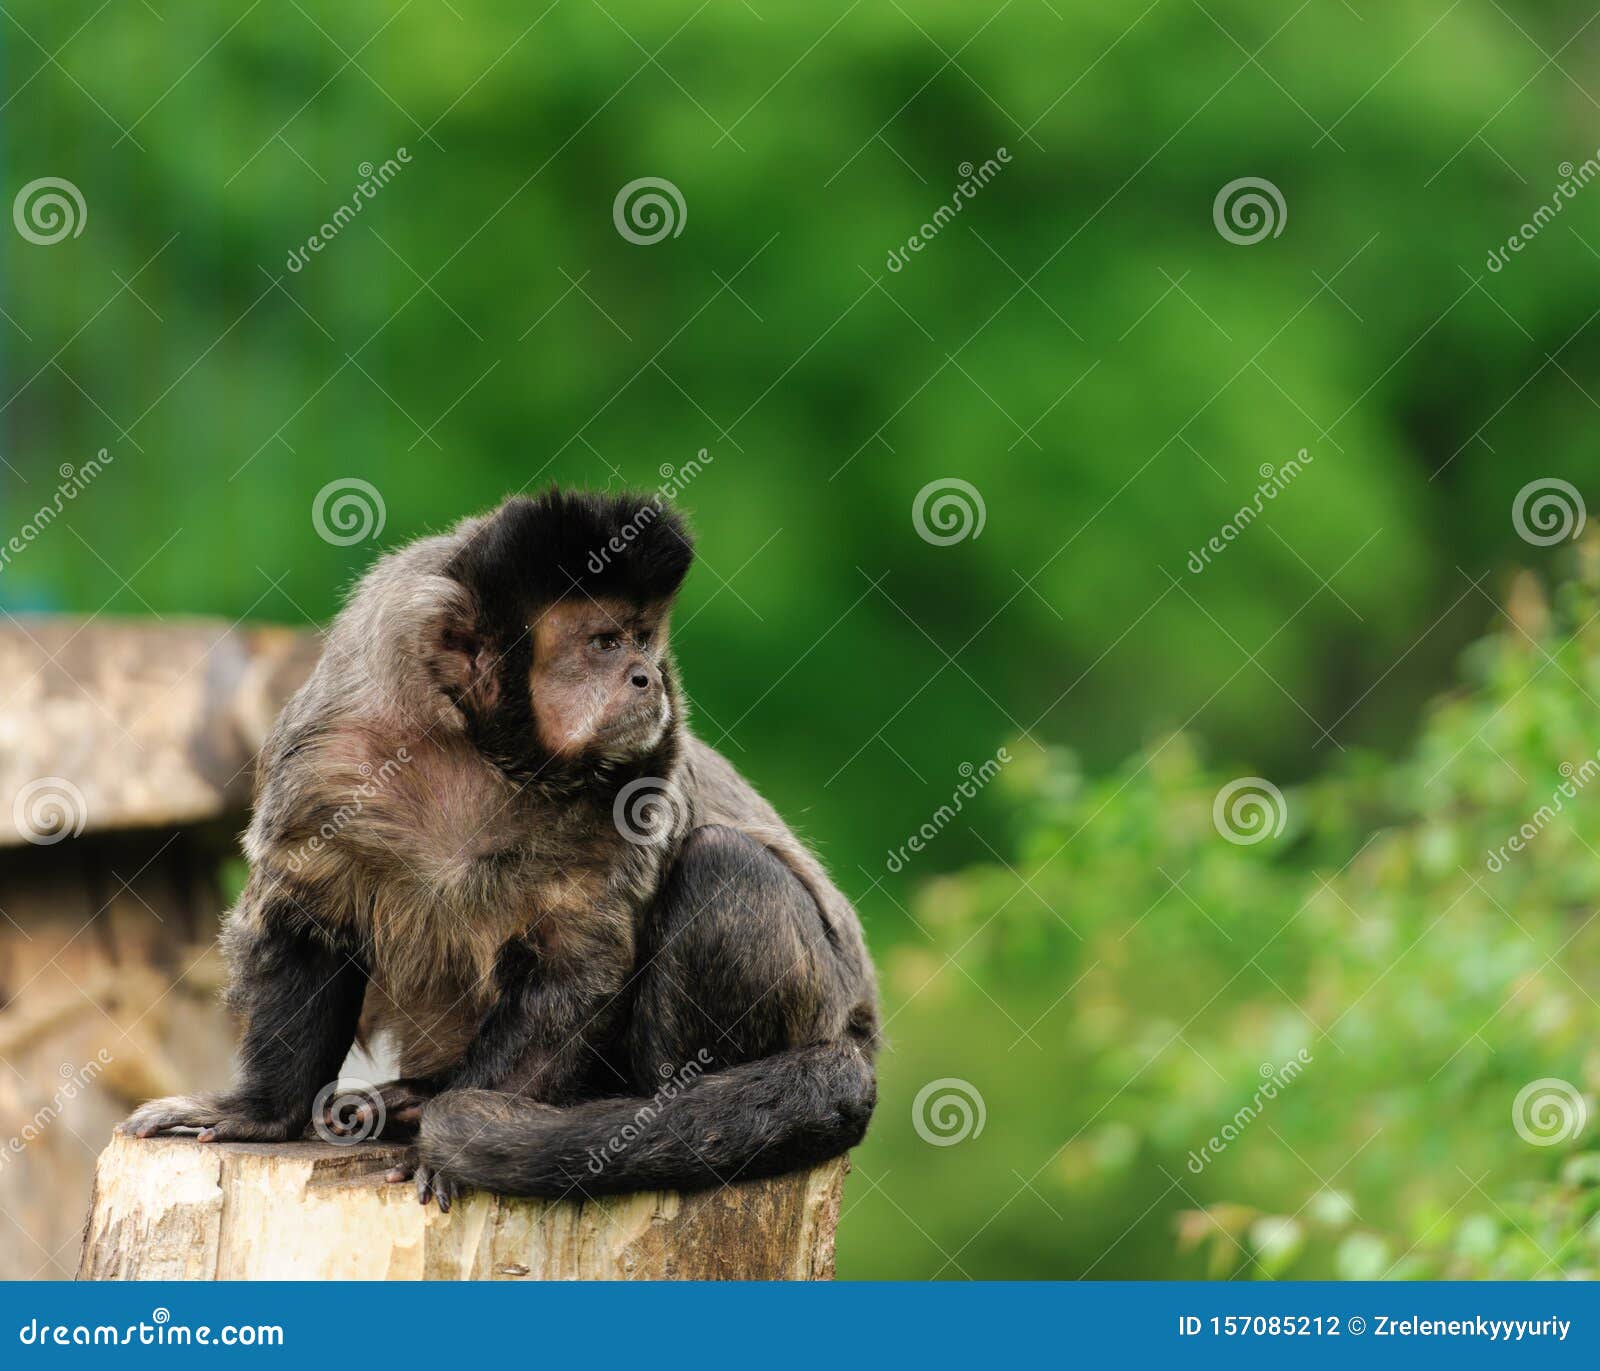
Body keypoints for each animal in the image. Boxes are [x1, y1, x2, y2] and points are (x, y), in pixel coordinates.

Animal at [120, 488, 879, 1210]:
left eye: (641, 639)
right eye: (604, 643)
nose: (647, 676)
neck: (478, 754)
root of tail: (859, 1028)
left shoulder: (642, 779)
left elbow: (574, 971)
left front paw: (437, 1136)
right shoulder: (329, 759)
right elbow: (306, 921)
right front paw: (263, 1112)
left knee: (722, 862)